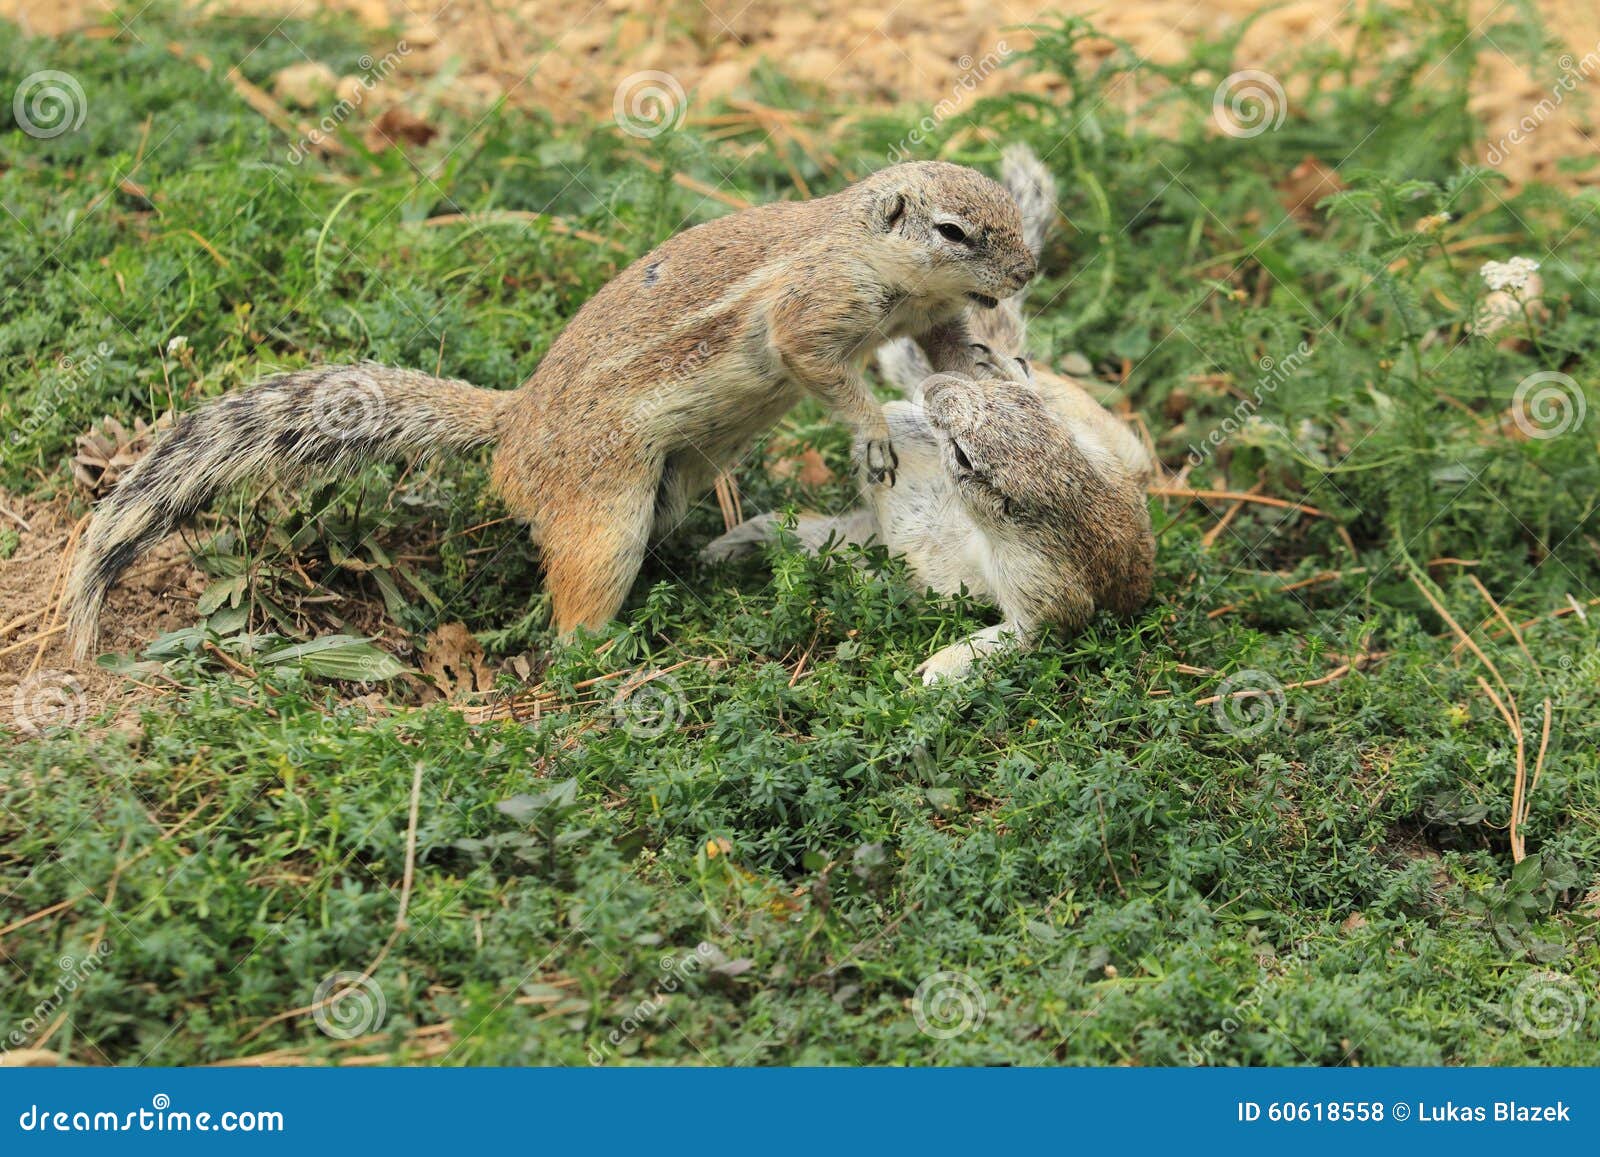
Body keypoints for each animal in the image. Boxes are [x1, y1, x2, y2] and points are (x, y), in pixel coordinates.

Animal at [62, 161, 1037, 660]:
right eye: (953, 230)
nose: (1028, 270)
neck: (870, 255)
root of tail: (513, 427)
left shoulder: (928, 316)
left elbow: (951, 354)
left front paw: (999, 372)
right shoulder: (812, 313)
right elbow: (823, 370)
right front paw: (873, 435)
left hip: (664, 489)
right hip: (603, 513)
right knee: (573, 614)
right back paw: (616, 655)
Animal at [703, 145, 1156, 682]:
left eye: (962, 457)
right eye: (1010, 403)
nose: (936, 389)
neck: (1080, 491)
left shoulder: (1045, 583)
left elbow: (1031, 633)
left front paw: (936, 670)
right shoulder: (1097, 457)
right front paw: (1004, 371)